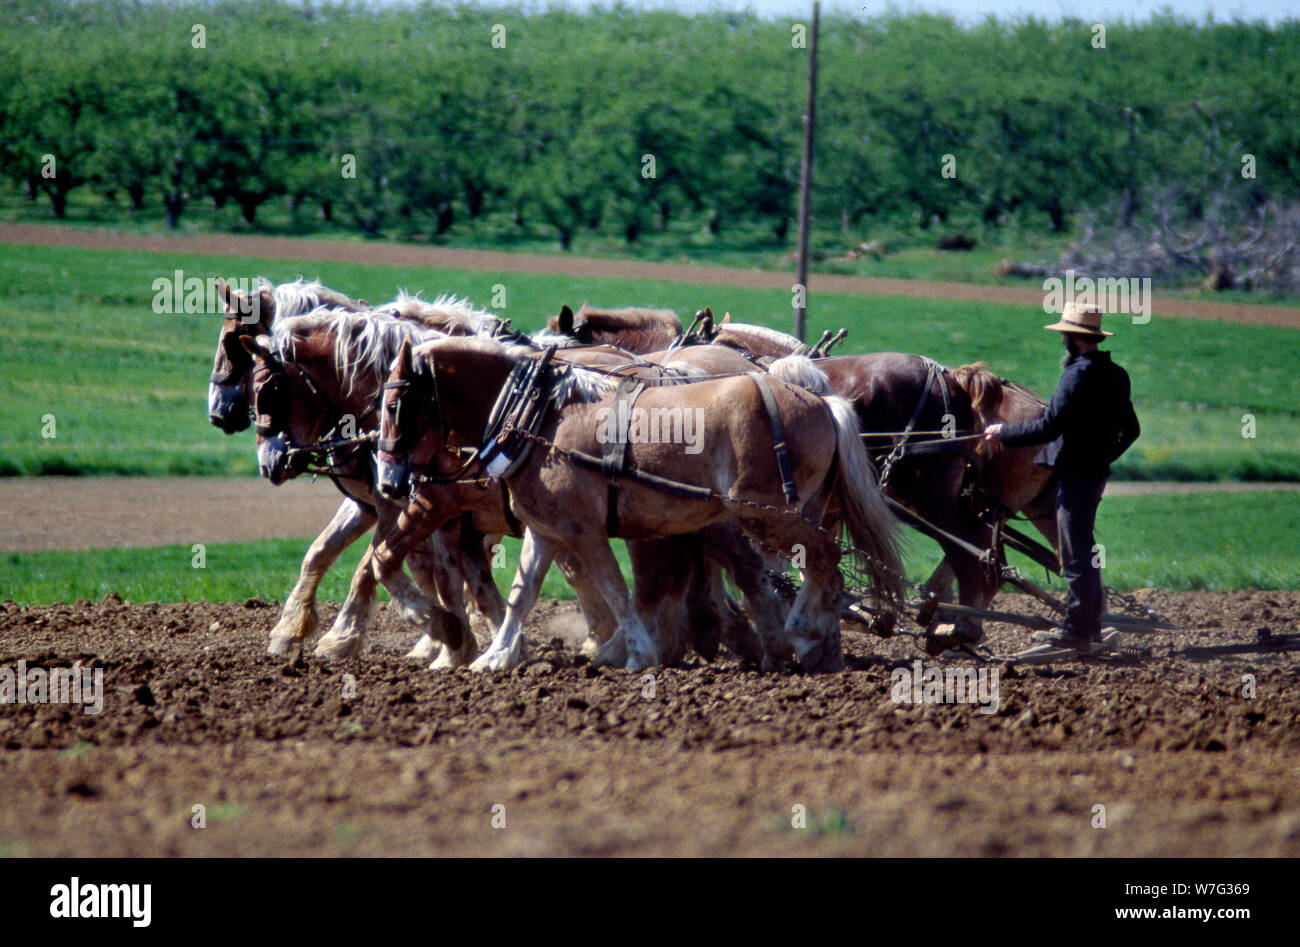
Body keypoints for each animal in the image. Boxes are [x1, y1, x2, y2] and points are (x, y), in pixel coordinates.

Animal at [376, 335, 903, 673]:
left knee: (822, 559)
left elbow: (615, 590)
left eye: (394, 405)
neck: (541, 415)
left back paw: (802, 633)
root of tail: (822, 402)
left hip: (769, 515)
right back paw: (817, 645)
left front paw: (638, 654)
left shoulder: (583, 530)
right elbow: (522, 592)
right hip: (798, 511)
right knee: (817, 568)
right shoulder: (545, 529)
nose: (387, 481)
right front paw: (496, 657)